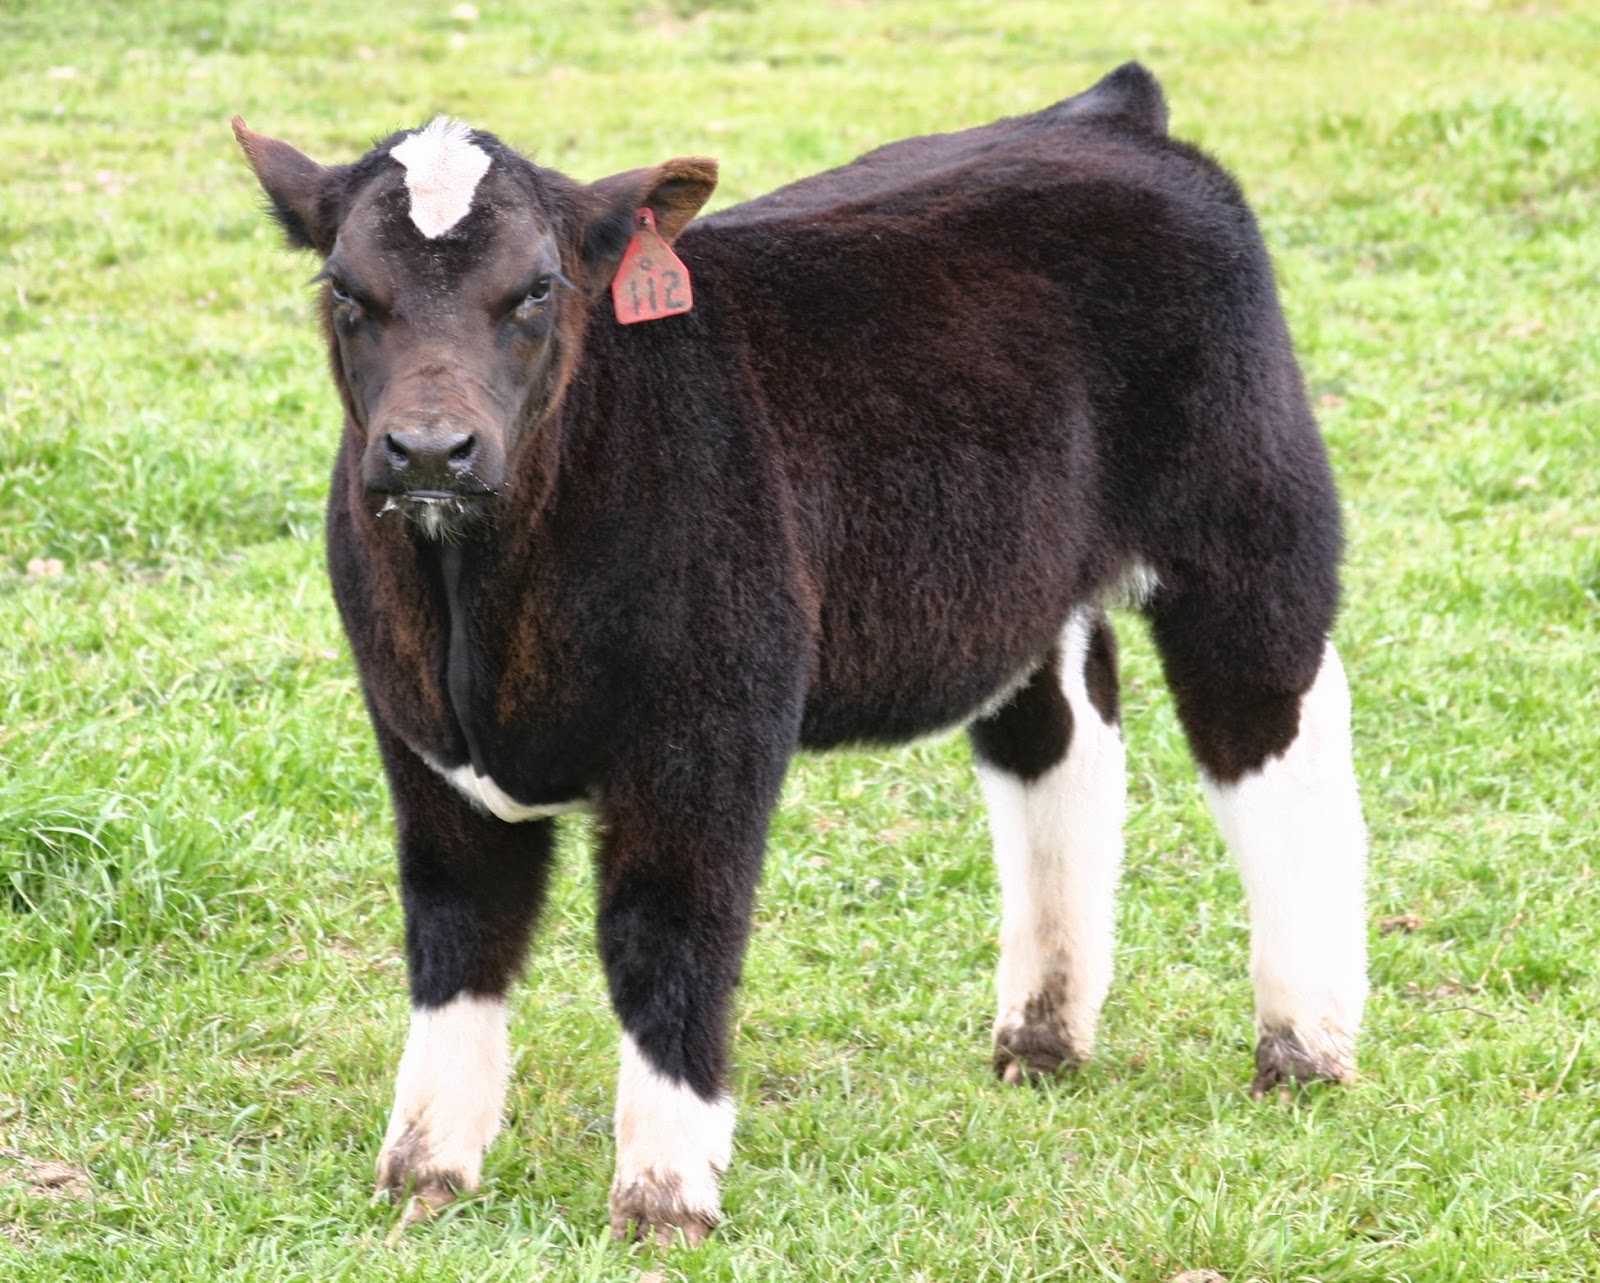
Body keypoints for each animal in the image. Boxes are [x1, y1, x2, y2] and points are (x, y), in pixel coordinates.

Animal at [234, 63, 1367, 1246]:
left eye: (538, 289)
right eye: (346, 289)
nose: (429, 451)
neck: (481, 617)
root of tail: (1105, 115)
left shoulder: (713, 728)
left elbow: (668, 933)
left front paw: (664, 1191)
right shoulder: (415, 730)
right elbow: (456, 926)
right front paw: (423, 1168)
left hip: (1249, 518)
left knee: (1272, 735)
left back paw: (1302, 1046)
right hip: (1014, 578)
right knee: (1060, 742)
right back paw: (1043, 1034)